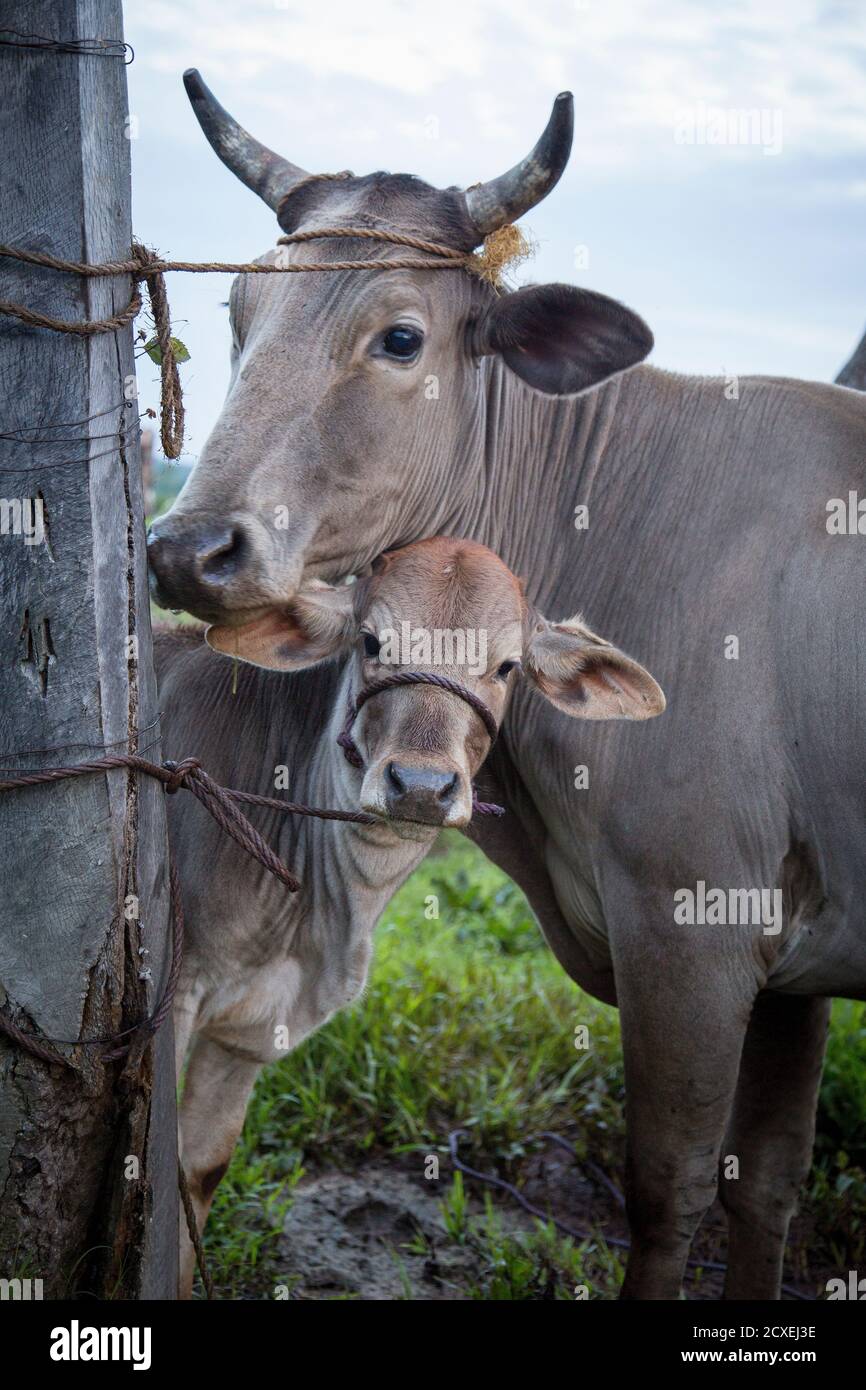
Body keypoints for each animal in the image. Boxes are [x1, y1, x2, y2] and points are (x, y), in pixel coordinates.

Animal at [159, 535, 664, 1297]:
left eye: (507, 665)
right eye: (371, 642)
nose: (422, 786)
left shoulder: (248, 1031)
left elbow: (200, 1171)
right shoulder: (175, 998)